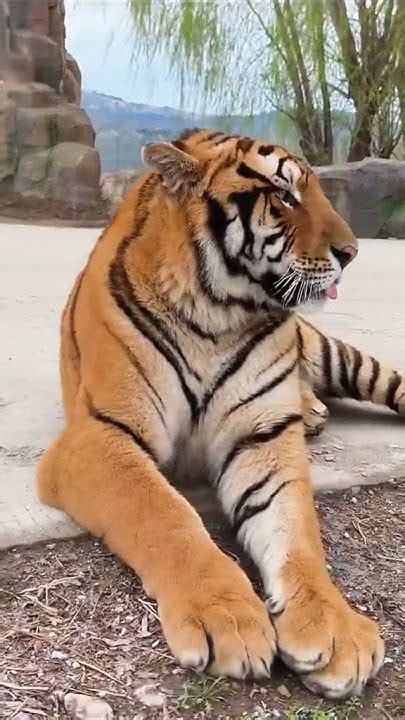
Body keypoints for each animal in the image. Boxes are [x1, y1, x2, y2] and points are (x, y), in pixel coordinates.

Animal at [37, 128, 405, 699]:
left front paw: (335, 629)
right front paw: (226, 617)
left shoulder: (263, 435)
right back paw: (313, 410)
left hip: (334, 355)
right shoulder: (101, 434)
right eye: (284, 196)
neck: (217, 313)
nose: (352, 252)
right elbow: (165, 514)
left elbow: (298, 537)